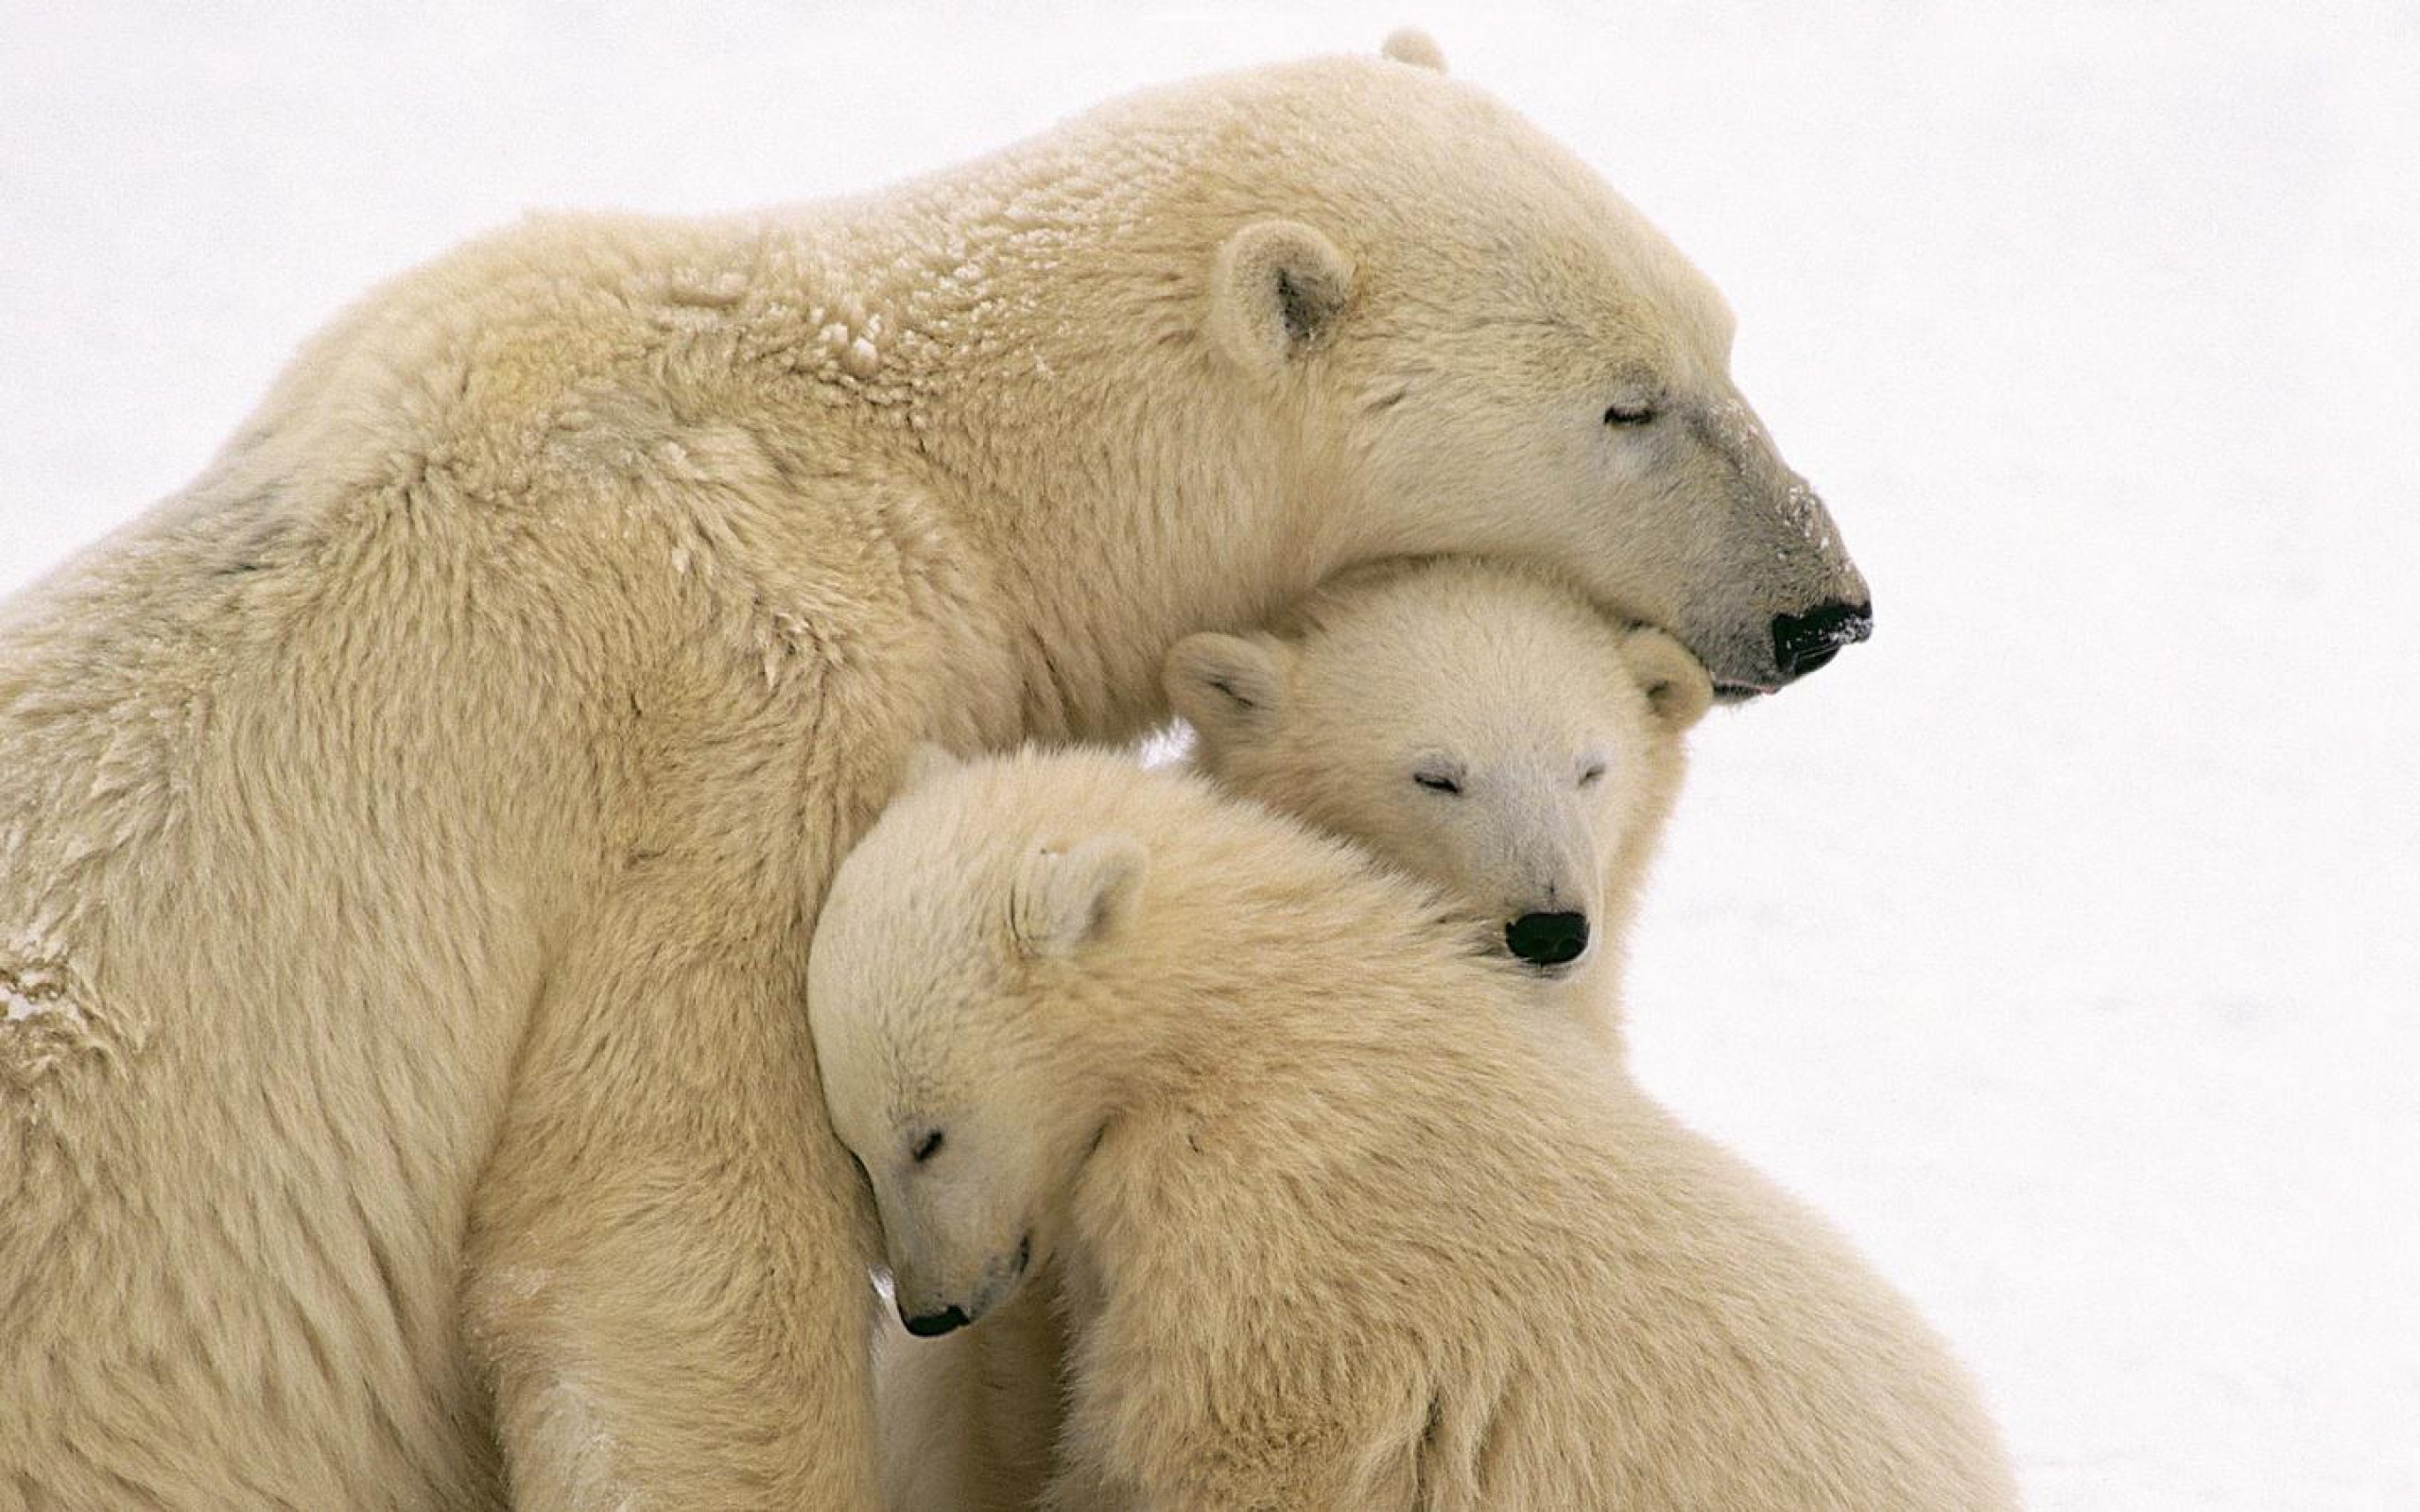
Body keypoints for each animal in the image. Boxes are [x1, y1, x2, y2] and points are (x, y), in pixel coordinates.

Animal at [814, 746, 2016, 1512]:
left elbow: (1226, 1445)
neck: (1237, 1018)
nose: (928, 1309)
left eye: (926, 1135)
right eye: (854, 1146)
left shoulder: (1276, 1232)